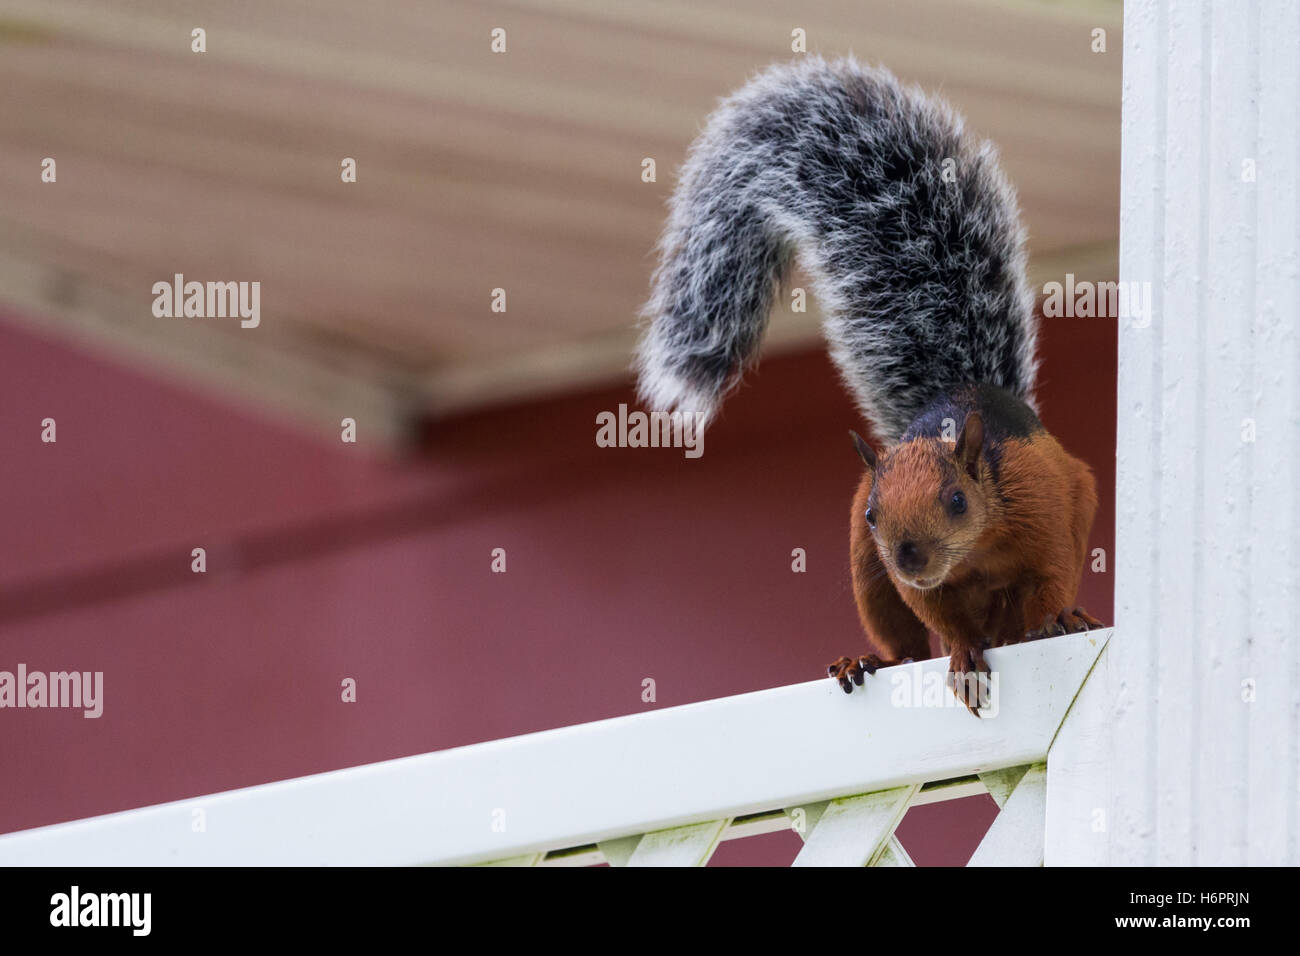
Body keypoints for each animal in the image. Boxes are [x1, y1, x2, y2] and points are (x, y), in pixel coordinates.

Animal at [635, 56, 1102, 714]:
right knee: (904, 643)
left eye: (957, 500)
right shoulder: (905, 572)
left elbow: (1049, 580)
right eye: (877, 514)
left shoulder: (1044, 513)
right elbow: (940, 618)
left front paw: (1055, 622)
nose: (909, 557)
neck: (975, 551)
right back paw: (868, 660)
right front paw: (964, 656)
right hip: (867, 572)